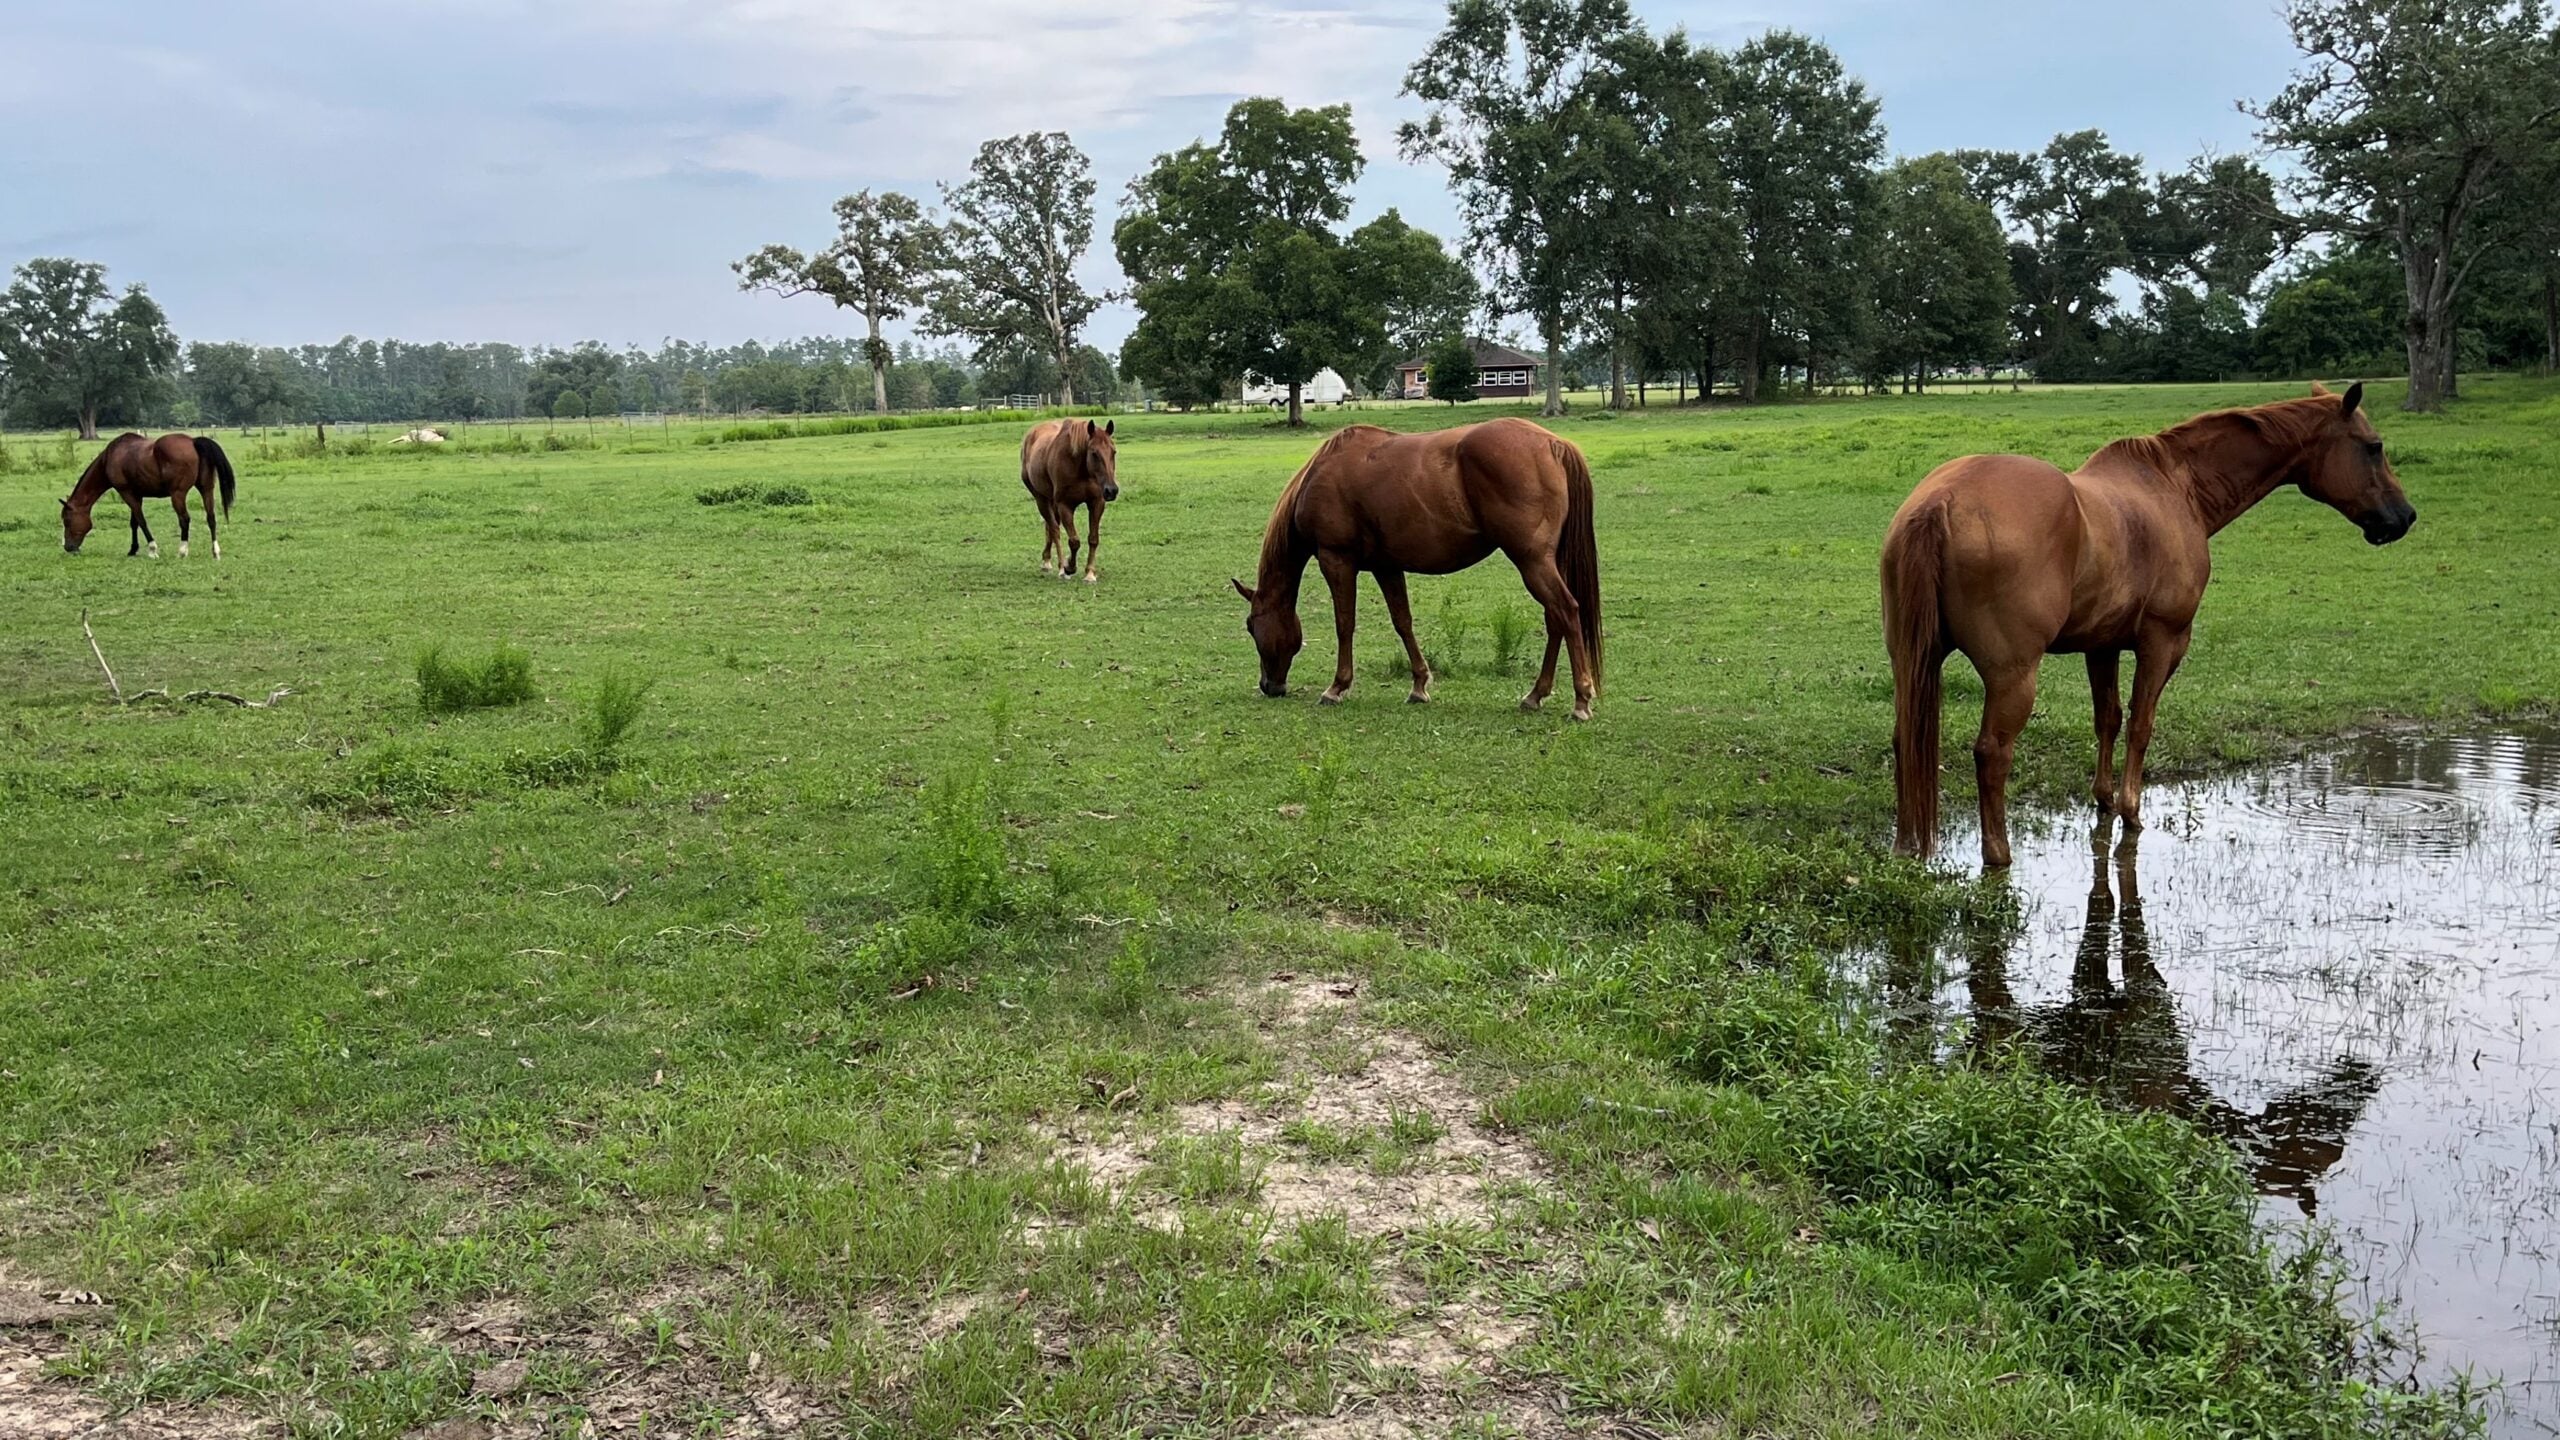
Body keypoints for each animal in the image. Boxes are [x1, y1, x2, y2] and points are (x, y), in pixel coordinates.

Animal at [61, 432, 239, 559]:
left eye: (67, 520)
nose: (68, 547)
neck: (111, 458)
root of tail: (193, 441)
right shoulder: (136, 495)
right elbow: (134, 523)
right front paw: (133, 549)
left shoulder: (126, 493)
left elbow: (141, 521)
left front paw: (152, 550)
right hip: (206, 489)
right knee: (211, 517)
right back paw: (215, 552)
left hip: (178, 494)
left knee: (184, 519)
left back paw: (182, 551)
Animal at [1021, 418, 1118, 582]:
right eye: (1094, 453)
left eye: (1113, 452)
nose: (1111, 490)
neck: (1082, 469)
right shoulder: (1065, 506)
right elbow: (1074, 541)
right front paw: (1068, 566)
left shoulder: (1097, 503)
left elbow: (1093, 538)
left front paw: (1090, 573)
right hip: (1041, 498)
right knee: (1054, 530)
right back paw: (1060, 568)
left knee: (1050, 527)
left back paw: (1047, 560)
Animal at [1232, 419, 1601, 718]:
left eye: (1251, 626)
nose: (1269, 686)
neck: (1320, 476)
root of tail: (1554, 444)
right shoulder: (1386, 567)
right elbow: (1403, 622)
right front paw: (1419, 686)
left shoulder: (1336, 560)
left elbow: (1344, 624)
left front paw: (1336, 688)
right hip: (1545, 562)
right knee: (1555, 618)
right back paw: (1535, 695)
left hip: (1531, 561)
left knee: (1566, 611)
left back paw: (1581, 700)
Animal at [1882, 383, 2414, 867]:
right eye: (2373, 446)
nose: (2404, 517)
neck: (2176, 489)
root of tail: (1940, 501)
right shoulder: (2163, 642)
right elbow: (2141, 723)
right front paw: (2131, 811)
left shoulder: (2101, 645)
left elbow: (2109, 718)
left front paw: (2102, 798)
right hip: (2013, 676)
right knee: (1992, 753)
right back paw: (1998, 854)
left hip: (1911, 660)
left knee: (1906, 738)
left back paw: (1907, 845)